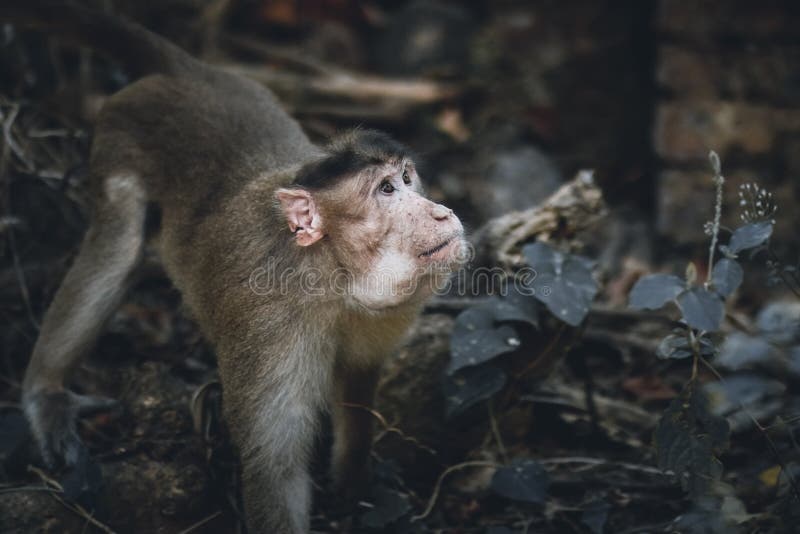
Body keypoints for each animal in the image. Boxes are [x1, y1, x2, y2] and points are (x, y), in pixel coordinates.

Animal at [2, 2, 466, 532]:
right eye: (386, 190)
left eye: (408, 178)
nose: (440, 212)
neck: (332, 278)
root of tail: (191, 72)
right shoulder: (269, 330)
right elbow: (275, 470)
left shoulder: (380, 316)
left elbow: (356, 380)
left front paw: (353, 489)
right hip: (119, 142)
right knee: (118, 246)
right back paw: (46, 392)